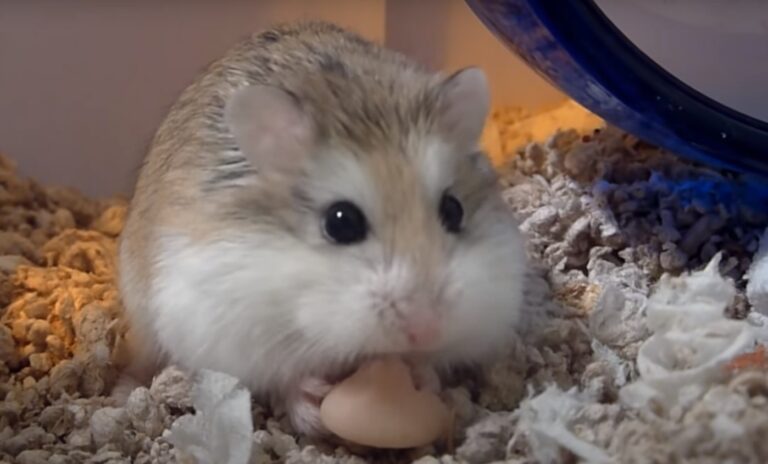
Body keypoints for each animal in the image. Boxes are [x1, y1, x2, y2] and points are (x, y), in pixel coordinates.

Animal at [115, 21, 525, 436]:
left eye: (454, 210)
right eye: (341, 222)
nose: (425, 329)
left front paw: (422, 376)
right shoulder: (229, 329)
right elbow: (285, 378)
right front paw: (312, 407)